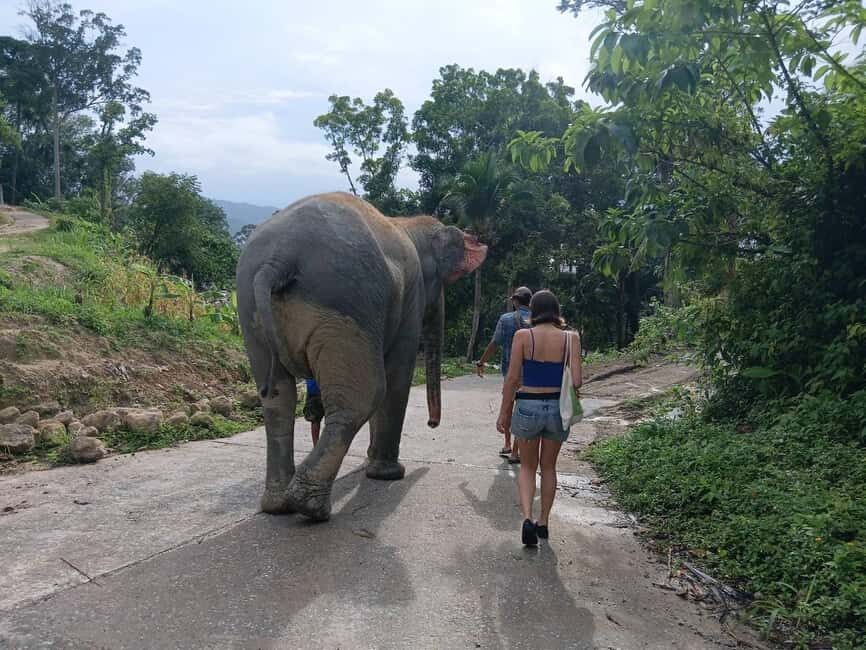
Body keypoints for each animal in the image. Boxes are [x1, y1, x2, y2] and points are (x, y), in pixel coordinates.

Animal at [236, 192, 487, 521]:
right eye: (445, 281)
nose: (432, 424)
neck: (405, 224)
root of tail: (279, 258)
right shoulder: (411, 296)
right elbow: (397, 377)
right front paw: (388, 474)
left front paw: (371, 463)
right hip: (345, 304)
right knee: (365, 394)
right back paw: (309, 507)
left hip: (251, 311)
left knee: (277, 399)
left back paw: (278, 506)